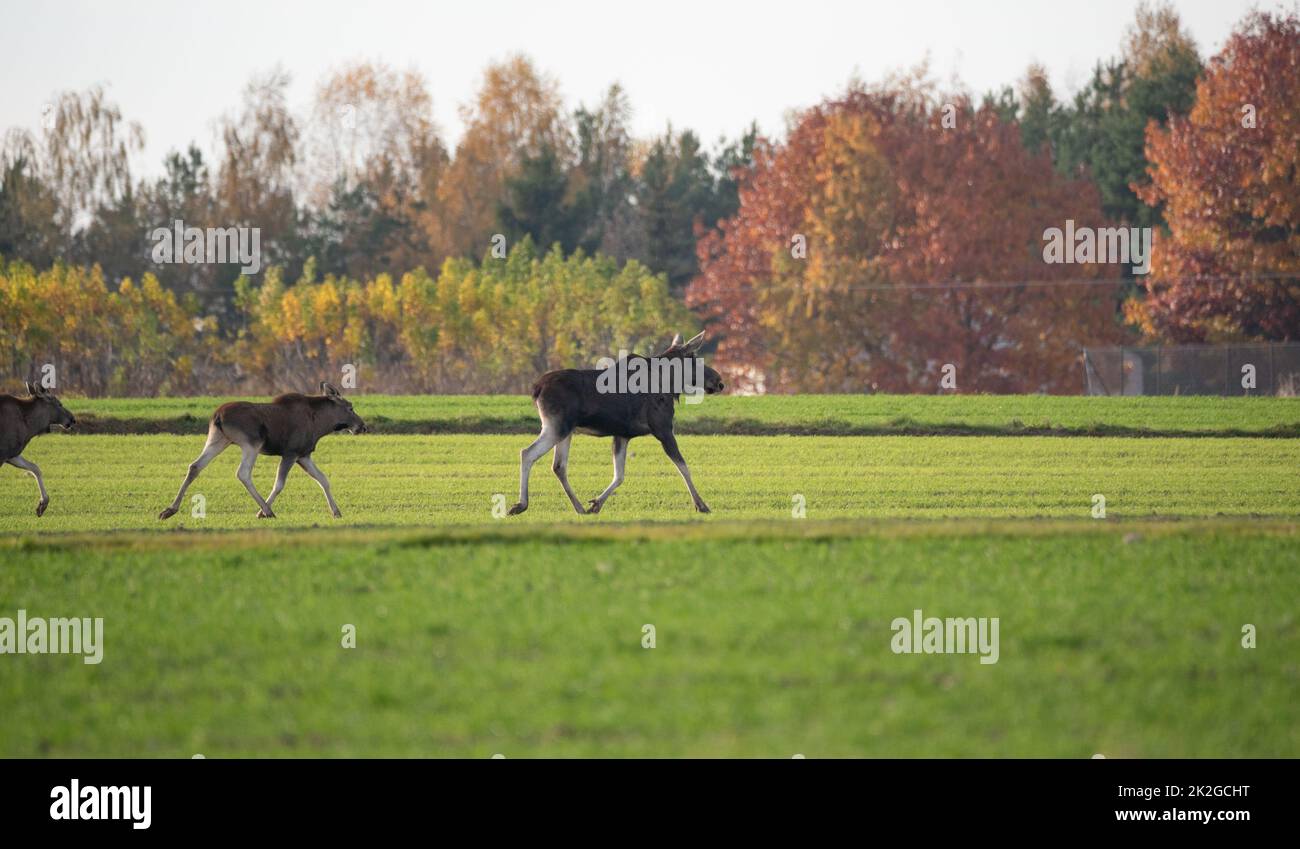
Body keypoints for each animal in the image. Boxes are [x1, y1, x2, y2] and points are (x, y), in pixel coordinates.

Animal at [1, 382, 77, 516]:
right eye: (59, 404)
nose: (72, 419)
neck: (29, 427)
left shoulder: (11, 454)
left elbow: (35, 468)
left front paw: (42, 504)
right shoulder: (2, 454)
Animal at [159, 382, 367, 520]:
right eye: (350, 407)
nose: (362, 426)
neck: (321, 424)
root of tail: (217, 416)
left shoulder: (304, 455)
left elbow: (323, 479)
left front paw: (336, 511)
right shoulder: (291, 452)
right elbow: (279, 484)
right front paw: (261, 511)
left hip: (218, 439)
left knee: (195, 466)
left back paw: (169, 510)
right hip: (251, 444)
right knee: (242, 473)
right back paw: (267, 510)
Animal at [508, 331, 724, 516]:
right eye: (694, 358)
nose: (719, 381)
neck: (670, 385)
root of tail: (537, 388)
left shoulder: (622, 434)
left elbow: (619, 475)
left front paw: (596, 504)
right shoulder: (663, 429)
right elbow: (684, 467)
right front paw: (701, 505)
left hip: (565, 430)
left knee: (559, 466)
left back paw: (579, 507)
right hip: (556, 427)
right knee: (527, 453)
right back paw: (521, 504)